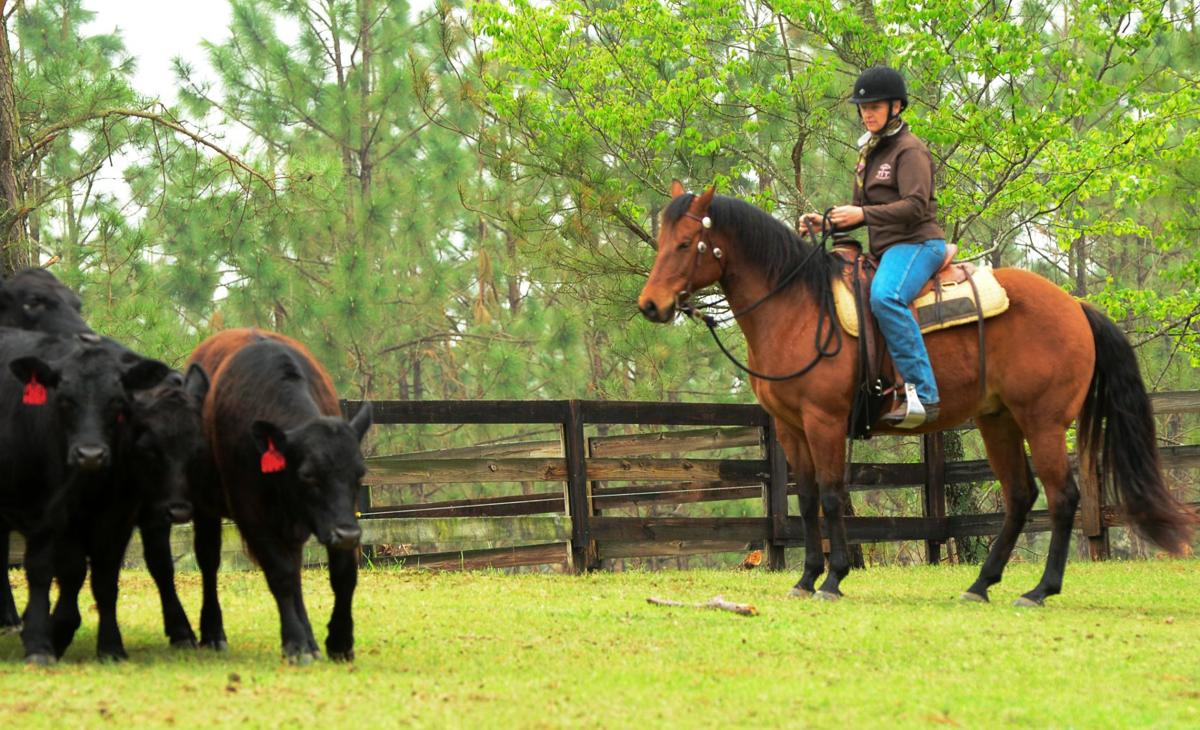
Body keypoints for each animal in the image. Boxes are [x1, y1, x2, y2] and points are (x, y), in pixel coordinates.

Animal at [0, 331, 169, 663]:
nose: (90, 454)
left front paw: (110, 646)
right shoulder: (49, 514)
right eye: (64, 400)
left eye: (117, 402)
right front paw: (43, 640)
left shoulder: (114, 517)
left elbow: (102, 580)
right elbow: (53, 571)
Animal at [188, 328, 371, 663]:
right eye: (308, 475)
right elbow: (280, 574)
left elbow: (343, 573)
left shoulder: (340, 516)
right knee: (209, 561)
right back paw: (213, 632)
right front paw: (296, 644)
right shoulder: (251, 514)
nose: (348, 534)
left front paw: (339, 640)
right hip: (205, 507)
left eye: (359, 473)